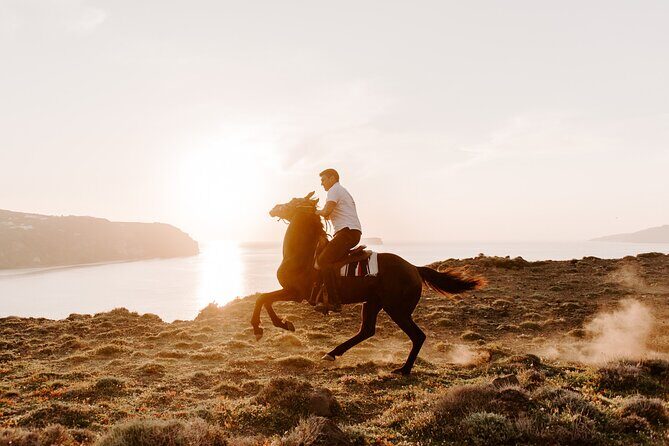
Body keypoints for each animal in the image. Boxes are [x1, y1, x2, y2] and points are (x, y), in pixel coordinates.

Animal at [250, 192, 485, 375]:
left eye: (293, 201)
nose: (274, 209)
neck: (302, 254)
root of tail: (413, 268)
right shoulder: (293, 292)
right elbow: (265, 300)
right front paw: (278, 324)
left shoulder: (296, 292)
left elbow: (263, 299)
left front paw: (265, 327)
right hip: (372, 303)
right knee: (367, 330)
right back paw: (332, 353)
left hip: (397, 309)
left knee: (417, 336)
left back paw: (404, 369)